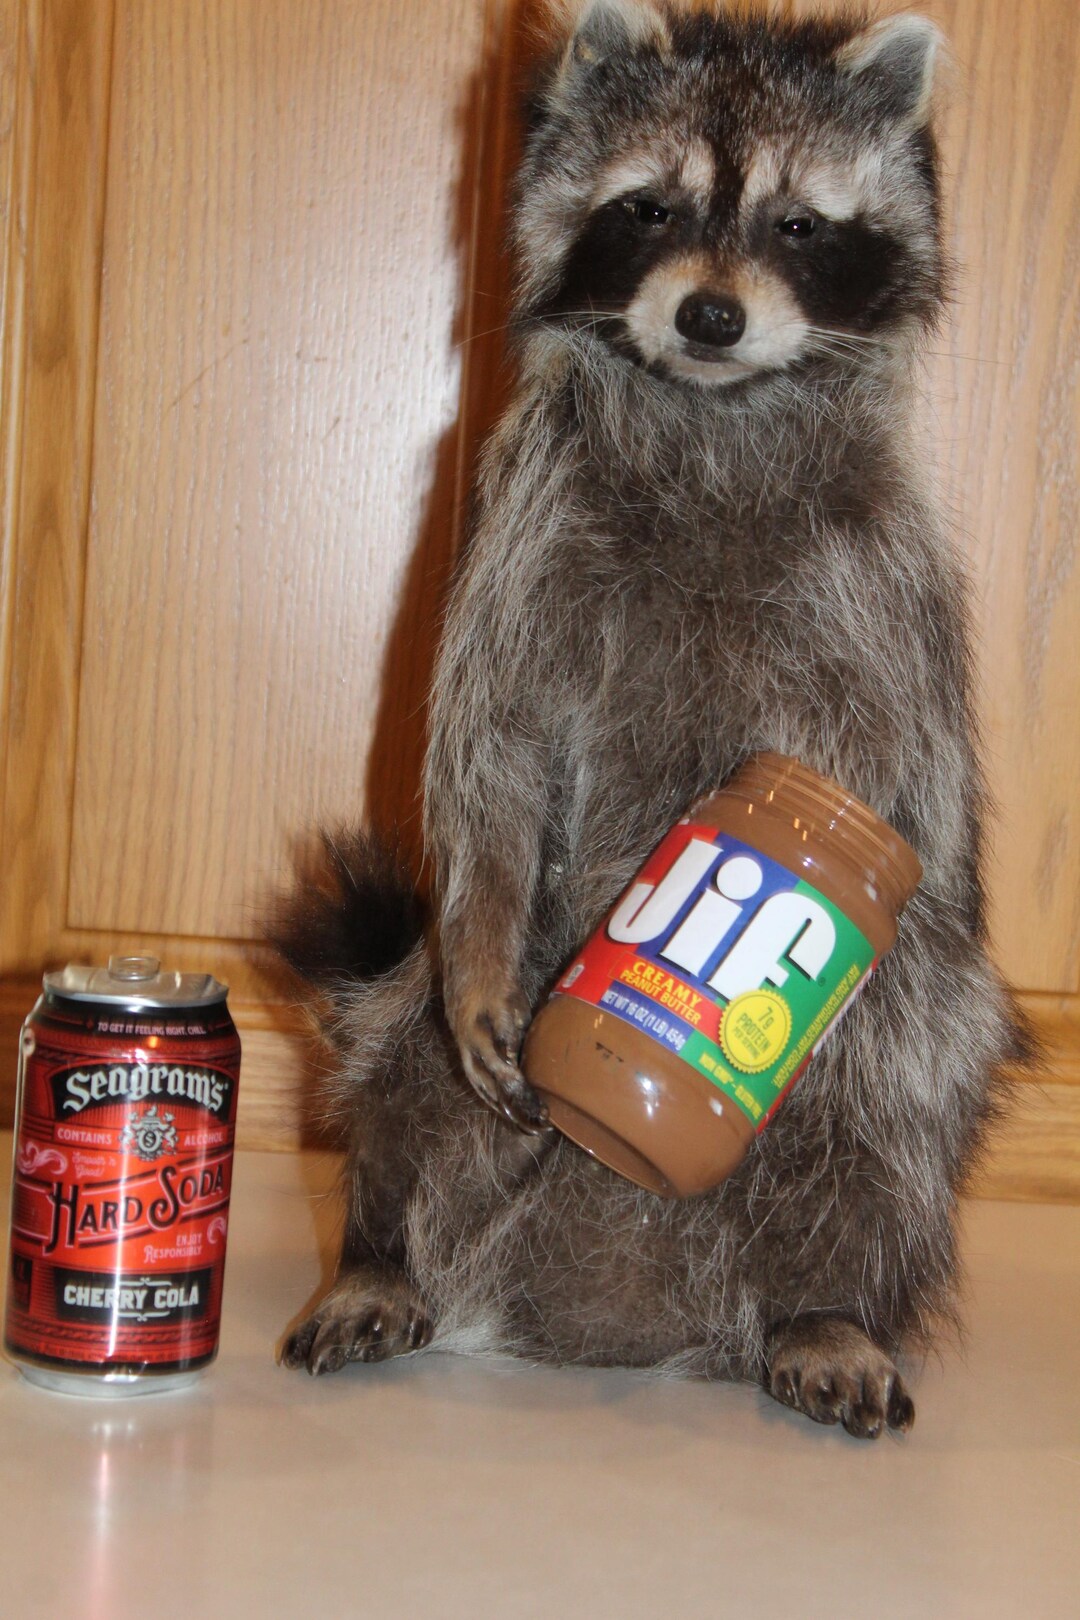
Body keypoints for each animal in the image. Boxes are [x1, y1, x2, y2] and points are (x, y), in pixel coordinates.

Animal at [277, 1, 1030, 1439]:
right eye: (650, 207)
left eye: (798, 223)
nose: (713, 314)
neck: (713, 407)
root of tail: (613, 1319)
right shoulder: (523, 519)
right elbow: (488, 748)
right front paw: (483, 925)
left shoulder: (885, 582)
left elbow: (896, 778)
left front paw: (771, 931)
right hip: (435, 1034)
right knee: (398, 1073)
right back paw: (381, 1248)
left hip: (912, 1039)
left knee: (900, 1089)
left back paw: (830, 1299)